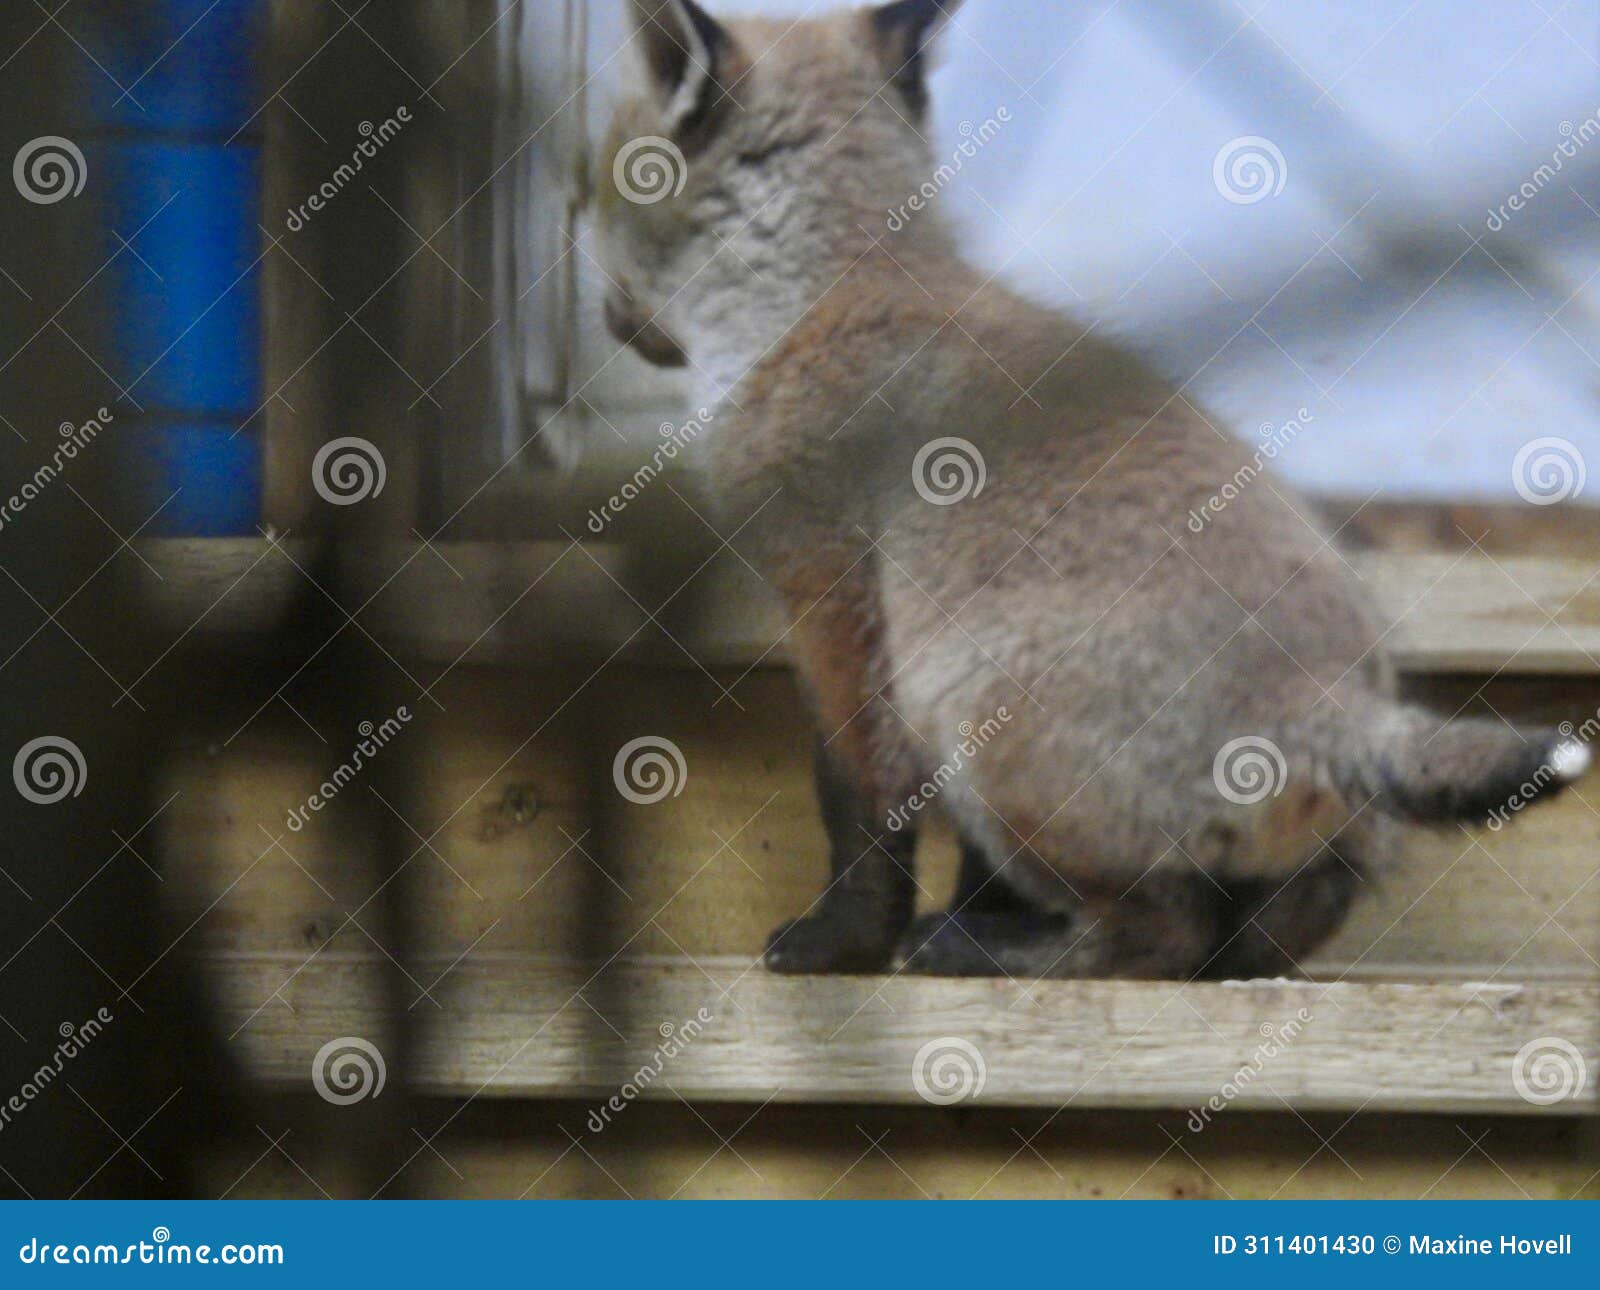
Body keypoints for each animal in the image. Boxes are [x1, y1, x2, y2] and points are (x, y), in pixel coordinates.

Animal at [594, 0, 1591, 978]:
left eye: (594, 191)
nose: (607, 317)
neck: (819, 292)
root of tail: (1333, 705)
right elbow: (968, 863)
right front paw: (959, 916)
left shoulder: (836, 598)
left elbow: (860, 802)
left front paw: (843, 946)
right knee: (1278, 919)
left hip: (970, 708)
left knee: (1160, 932)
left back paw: (992, 954)